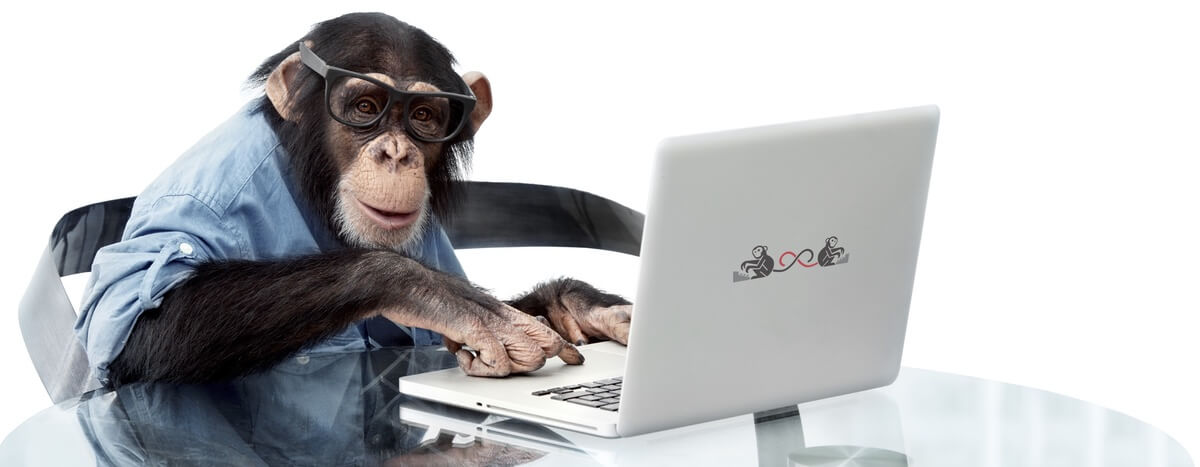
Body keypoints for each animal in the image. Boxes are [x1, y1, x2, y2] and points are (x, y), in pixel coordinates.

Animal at [75, 13, 632, 387]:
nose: (396, 153)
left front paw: (578, 306)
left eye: (424, 116)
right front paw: (441, 296)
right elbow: (138, 320)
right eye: (366, 107)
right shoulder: (207, 193)